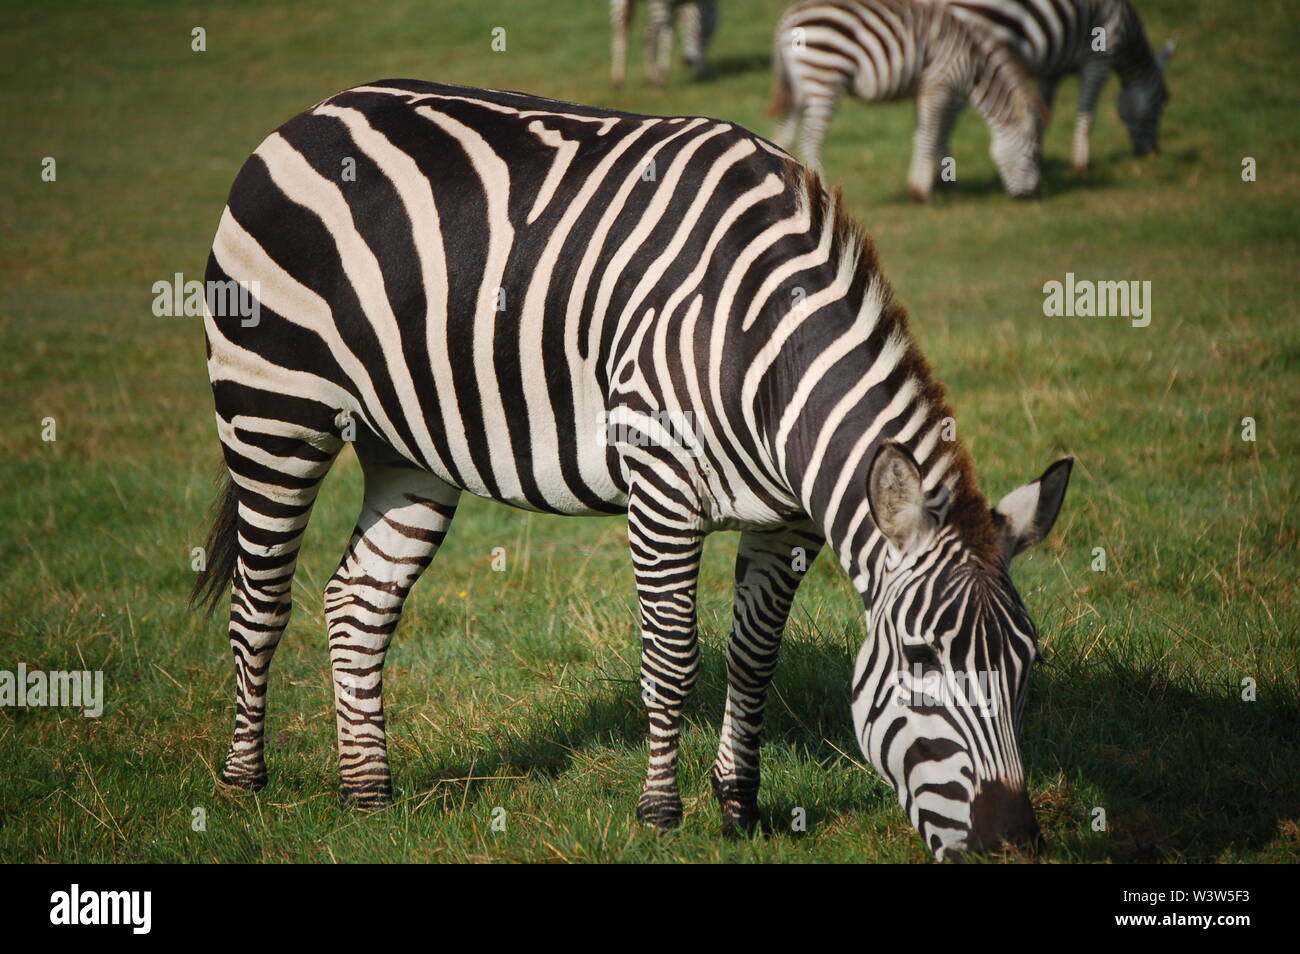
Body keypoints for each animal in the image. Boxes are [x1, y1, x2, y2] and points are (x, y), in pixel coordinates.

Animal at [193, 79, 1072, 859]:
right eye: (922, 660)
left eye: (1027, 665)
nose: (1011, 845)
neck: (763, 352)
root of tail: (313, 114)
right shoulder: (660, 492)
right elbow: (672, 657)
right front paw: (659, 812)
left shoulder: (788, 523)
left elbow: (754, 657)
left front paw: (738, 806)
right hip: (271, 408)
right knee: (260, 601)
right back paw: (243, 782)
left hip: (407, 445)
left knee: (358, 599)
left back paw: (368, 794)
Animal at [770, 0, 1046, 202]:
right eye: (1033, 152)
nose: (1031, 196)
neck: (974, 64)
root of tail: (787, 20)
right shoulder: (939, 83)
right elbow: (933, 133)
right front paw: (923, 191)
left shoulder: (925, 89)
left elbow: (923, 132)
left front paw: (933, 181)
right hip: (825, 76)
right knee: (811, 138)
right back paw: (821, 190)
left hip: (800, 88)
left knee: (783, 134)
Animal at [935, 0, 1174, 171]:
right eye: (1163, 101)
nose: (1153, 153)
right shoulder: (1100, 59)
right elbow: (1087, 114)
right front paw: (1080, 163)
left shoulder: (1050, 70)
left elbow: (1042, 113)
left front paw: (1036, 157)